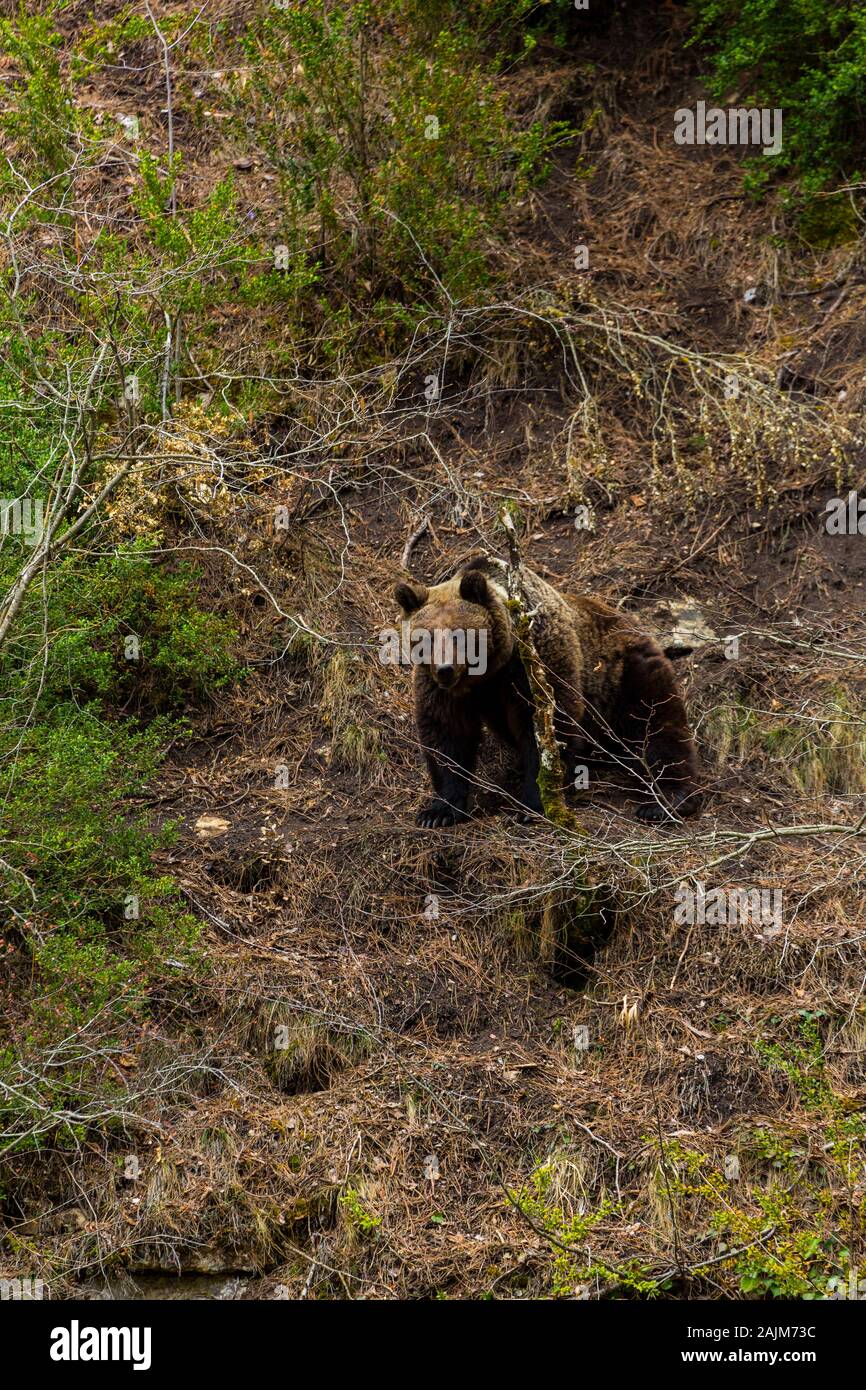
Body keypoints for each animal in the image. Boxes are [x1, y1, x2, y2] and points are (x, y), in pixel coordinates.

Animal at [394, 553, 700, 827]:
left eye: (459, 634)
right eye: (427, 637)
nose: (445, 669)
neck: (487, 672)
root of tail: (632, 623)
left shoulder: (534, 665)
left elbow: (548, 729)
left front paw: (533, 805)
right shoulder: (443, 690)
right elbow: (446, 735)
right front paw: (439, 811)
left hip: (624, 674)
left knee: (655, 724)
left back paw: (665, 801)